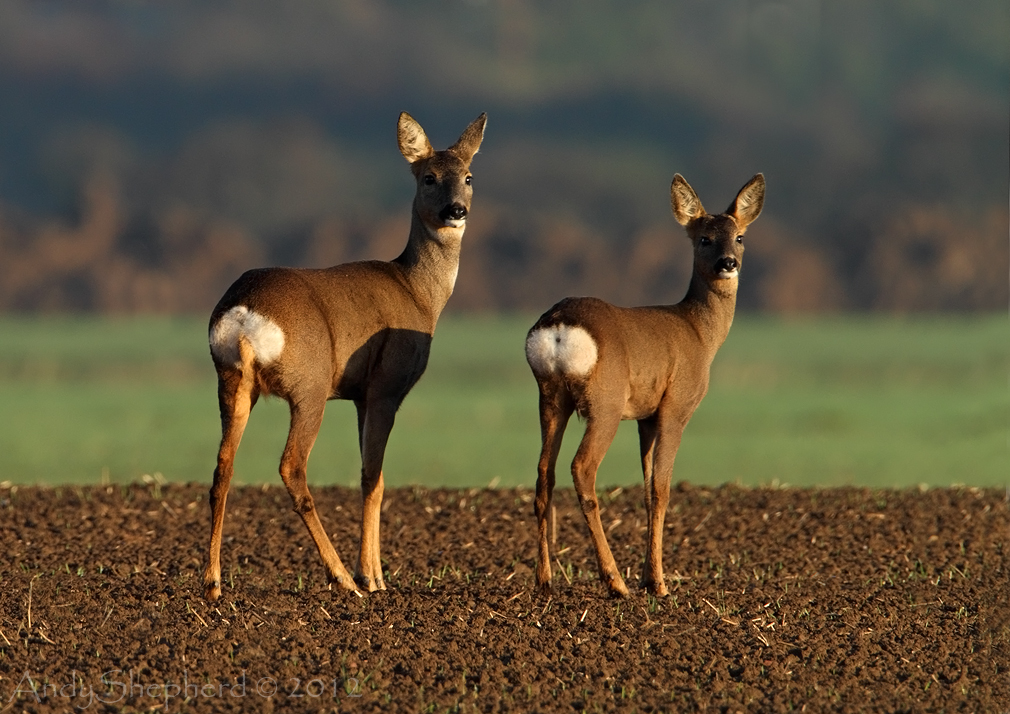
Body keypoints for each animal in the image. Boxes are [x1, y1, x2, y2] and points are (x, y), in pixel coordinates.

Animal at [202, 111, 487, 601]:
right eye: (428, 177)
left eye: (468, 177)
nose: (456, 211)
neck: (418, 292)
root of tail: (242, 316)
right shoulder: (386, 387)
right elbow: (374, 477)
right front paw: (373, 579)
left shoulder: (358, 395)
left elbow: (371, 475)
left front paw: (372, 572)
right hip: (310, 387)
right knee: (291, 467)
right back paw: (341, 579)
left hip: (232, 382)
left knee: (223, 469)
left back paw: (213, 582)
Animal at [525, 173, 765, 598]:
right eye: (704, 239)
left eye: (739, 237)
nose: (728, 264)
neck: (699, 332)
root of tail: (557, 327)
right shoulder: (675, 406)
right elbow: (661, 489)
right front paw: (659, 583)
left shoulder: (644, 417)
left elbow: (646, 486)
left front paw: (648, 577)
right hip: (604, 402)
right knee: (581, 468)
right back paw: (614, 581)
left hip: (550, 397)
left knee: (543, 474)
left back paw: (546, 579)